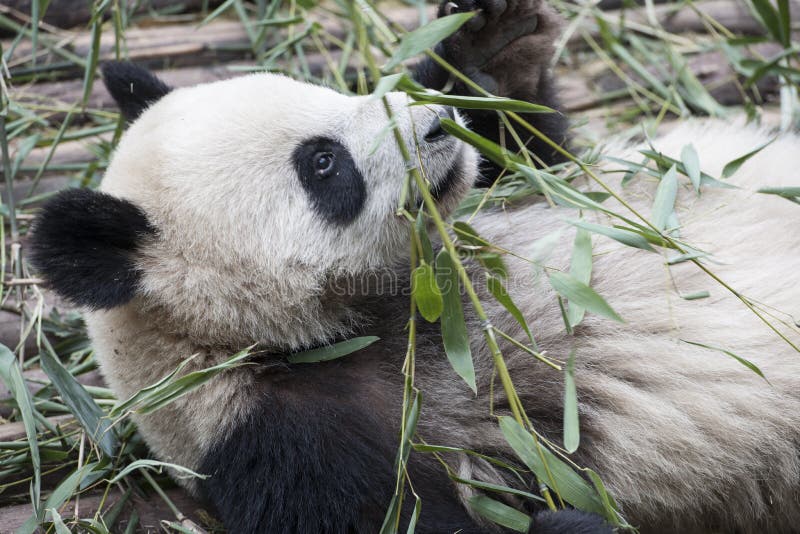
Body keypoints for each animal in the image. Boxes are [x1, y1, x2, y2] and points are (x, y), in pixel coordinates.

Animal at [27, 0, 800, 532]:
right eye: (322, 162)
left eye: (332, 92)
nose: (433, 126)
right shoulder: (280, 437)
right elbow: (403, 514)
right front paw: (568, 523)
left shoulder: (498, 197)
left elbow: (536, 156)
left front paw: (485, 48)